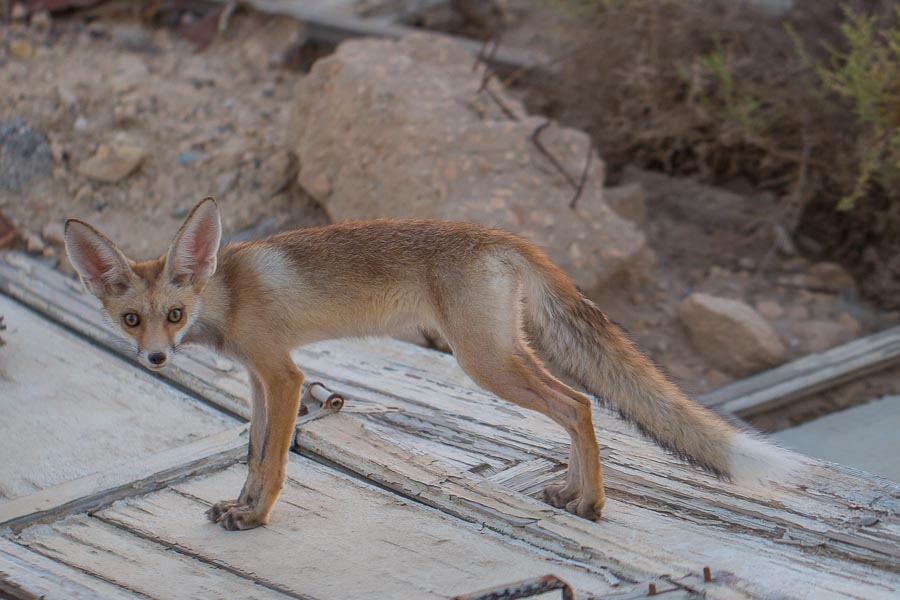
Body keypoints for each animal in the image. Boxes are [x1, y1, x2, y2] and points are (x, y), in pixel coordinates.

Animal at [64, 197, 798, 531]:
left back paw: (590, 502)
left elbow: (273, 459)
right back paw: (575, 494)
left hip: (483, 362)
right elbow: (252, 451)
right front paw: (239, 507)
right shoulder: (256, 380)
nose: (156, 358)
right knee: (581, 405)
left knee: (578, 404)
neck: (229, 291)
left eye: (173, 314)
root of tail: (499, 233)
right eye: (132, 320)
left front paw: (258, 517)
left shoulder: (285, 375)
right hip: (502, 353)